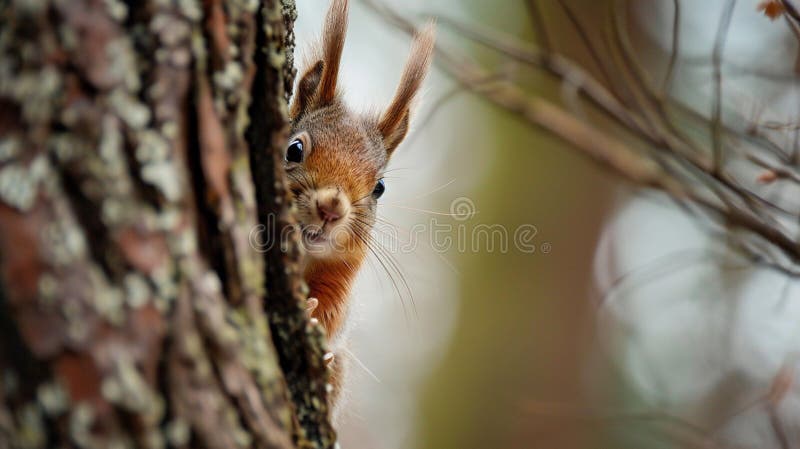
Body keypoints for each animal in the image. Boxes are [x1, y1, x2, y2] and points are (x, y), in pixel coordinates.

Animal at [285, 0, 435, 410]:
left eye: (379, 188)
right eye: (294, 149)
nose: (332, 209)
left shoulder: (342, 275)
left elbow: (334, 315)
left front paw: (312, 316)